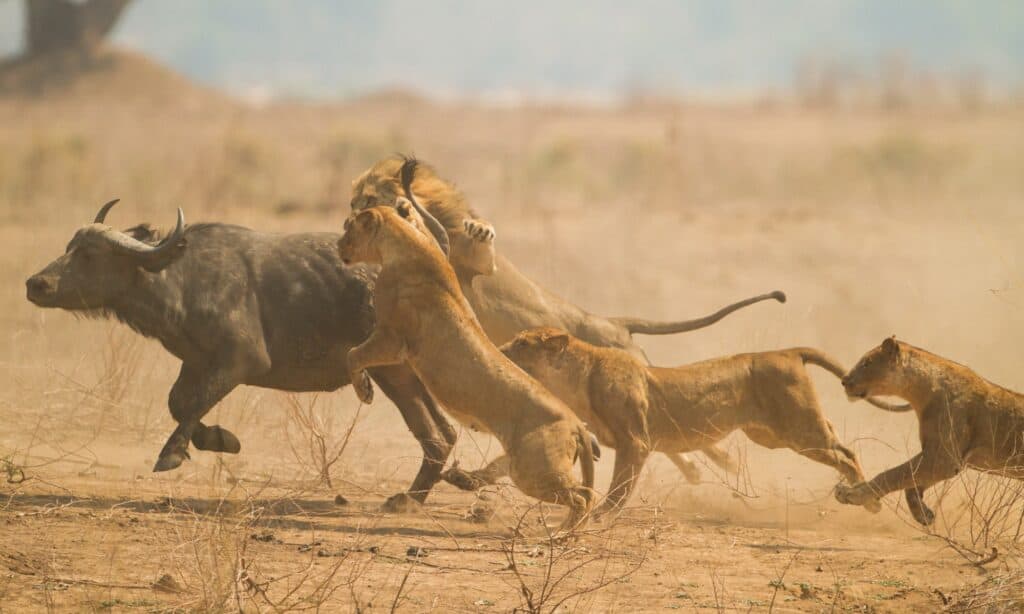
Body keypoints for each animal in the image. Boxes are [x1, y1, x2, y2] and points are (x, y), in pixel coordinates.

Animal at [337, 203, 598, 532]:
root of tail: (576, 422)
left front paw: (364, 391)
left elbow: (352, 355)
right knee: (572, 491)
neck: (405, 245)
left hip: (533, 470)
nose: (337, 246)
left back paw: (561, 533)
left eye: (348, 228)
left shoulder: (392, 339)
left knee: (582, 496)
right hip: (525, 462)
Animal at [351, 155, 785, 503]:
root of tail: (613, 322)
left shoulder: (480, 268)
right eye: (355, 200)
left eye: (367, 197)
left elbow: (480, 248)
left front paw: (478, 229)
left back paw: (720, 463)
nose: (350, 213)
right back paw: (700, 468)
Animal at [443, 327, 908, 515]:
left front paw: (600, 516)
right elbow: (501, 465)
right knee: (840, 445)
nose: (497, 349)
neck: (576, 379)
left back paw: (867, 500)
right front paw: (466, 478)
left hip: (797, 430)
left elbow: (618, 490)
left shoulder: (635, 442)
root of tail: (786, 351)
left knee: (845, 452)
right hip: (770, 435)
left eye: (521, 343)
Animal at [835, 337, 1024, 526]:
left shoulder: (943, 459)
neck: (920, 393)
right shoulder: (934, 456)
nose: (844, 381)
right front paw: (923, 514)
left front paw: (852, 494)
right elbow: (910, 482)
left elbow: (893, 475)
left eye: (866, 363)